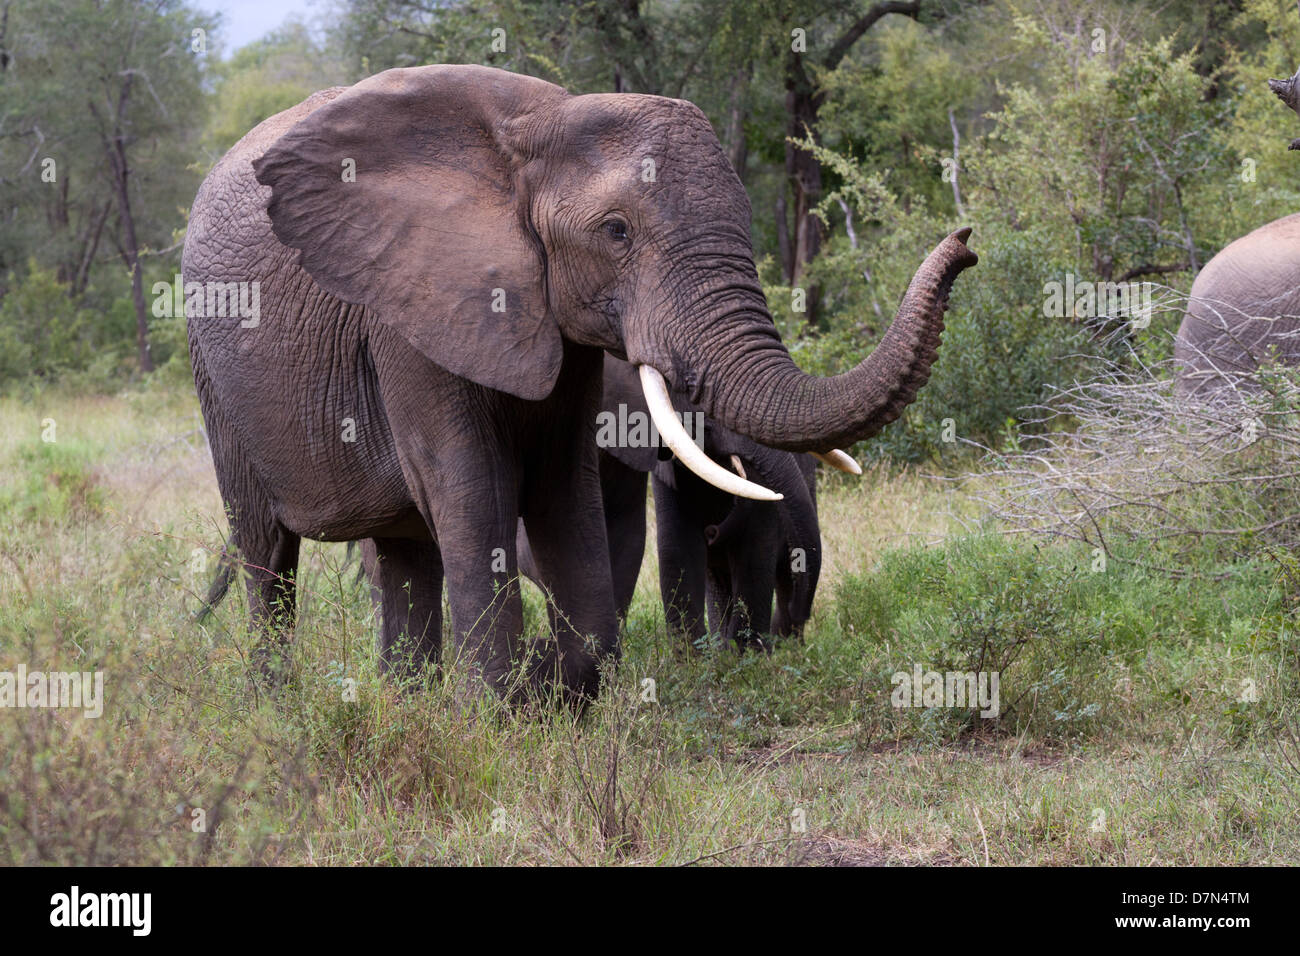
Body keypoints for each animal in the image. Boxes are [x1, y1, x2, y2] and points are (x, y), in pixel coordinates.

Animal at [182, 64, 977, 706]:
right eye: (616, 231)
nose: (965, 243)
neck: (539, 122)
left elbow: (567, 493)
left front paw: (557, 692)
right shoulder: (405, 314)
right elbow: (474, 491)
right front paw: (494, 719)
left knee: (405, 553)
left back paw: (405, 706)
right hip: (213, 372)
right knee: (267, 554)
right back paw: (279, 709)